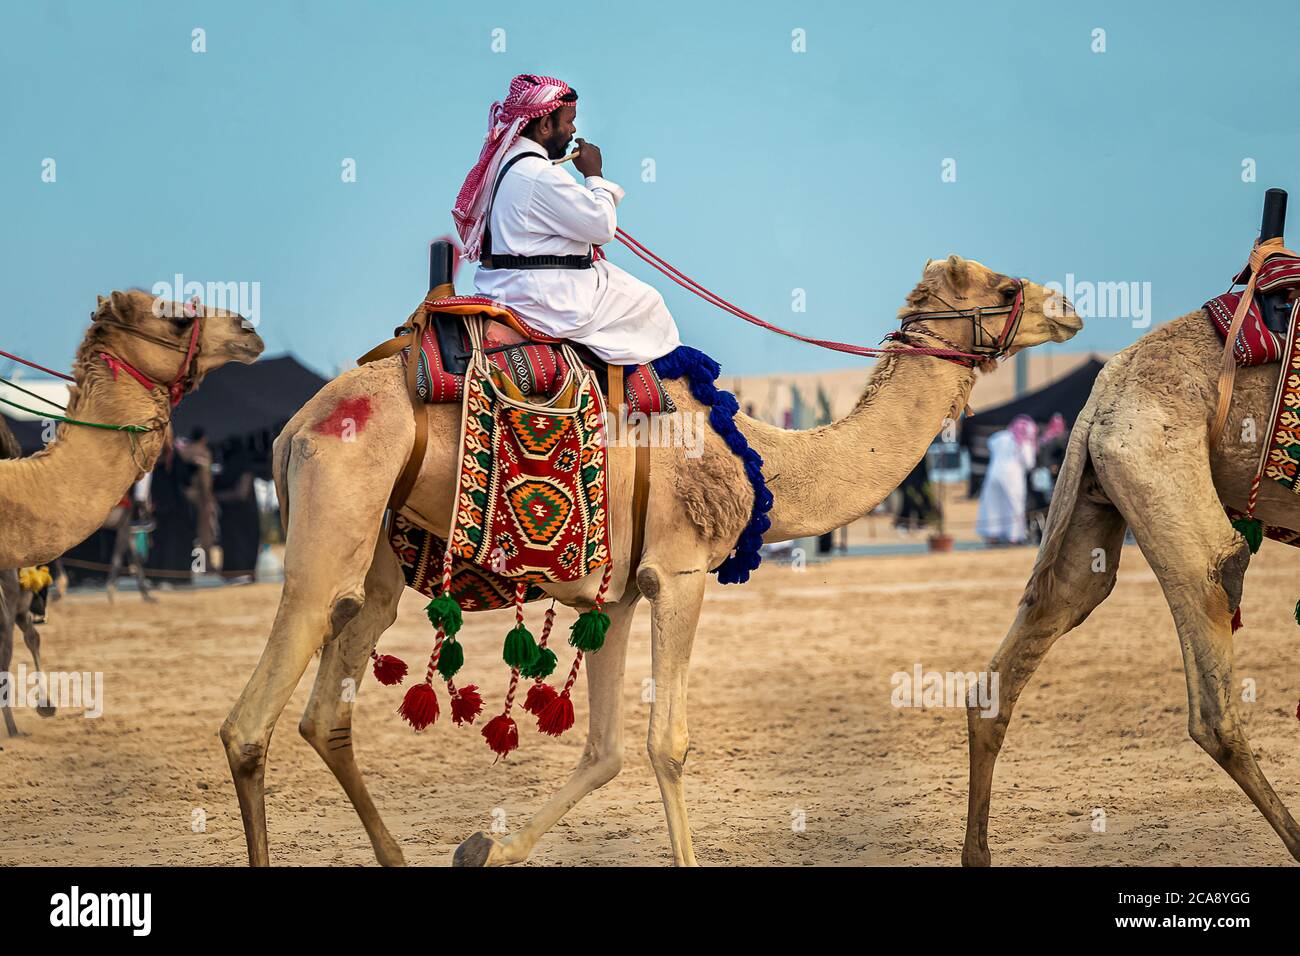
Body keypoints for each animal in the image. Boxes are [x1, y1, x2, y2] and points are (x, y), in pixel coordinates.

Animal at [221, 254, 1081, 866]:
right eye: (1009, 286)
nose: (1069, 307)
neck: (755, 456)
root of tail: (293, 429)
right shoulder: (681, 572)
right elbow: (667, 743)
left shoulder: (615, 598)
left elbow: (602, 752)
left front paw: (484, 848)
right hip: (327, 539)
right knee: (248, 725)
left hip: (376, 565)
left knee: (326, 712)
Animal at [962, 299, 1300, 866]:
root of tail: (1105, 392)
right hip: (1167, 485)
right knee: (1215, 673)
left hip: (1092, 508)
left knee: (1014, 660)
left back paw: (977, 854)